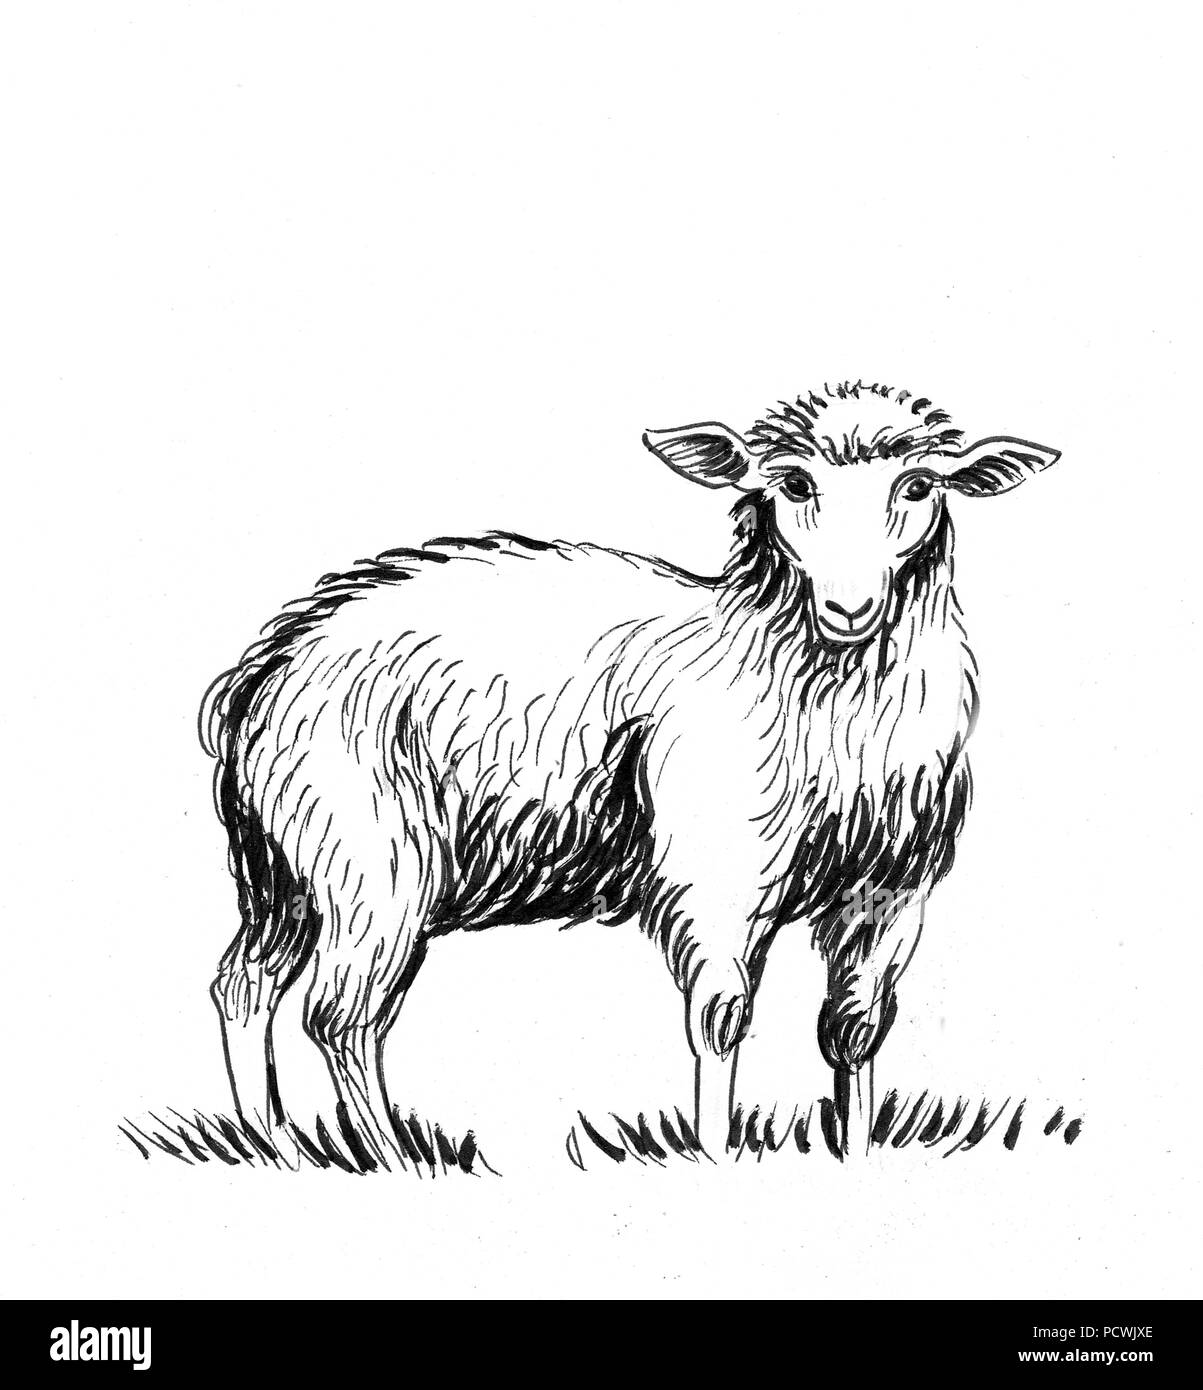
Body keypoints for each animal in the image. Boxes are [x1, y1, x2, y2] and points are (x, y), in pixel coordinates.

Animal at [200, 380, 1060, 1163]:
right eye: (791, 483)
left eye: (917, 486)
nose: (849, 608)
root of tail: (267, 668)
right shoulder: (718, 882)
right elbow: (719, 1023)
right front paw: (713, 1157)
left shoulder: (888, 892)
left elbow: (851, 1032)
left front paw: (853, 1155)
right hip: (370, 863)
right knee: (340, 1016)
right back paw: (390, 1154)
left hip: (282, 870)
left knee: (243, 987)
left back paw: (273, 1141)